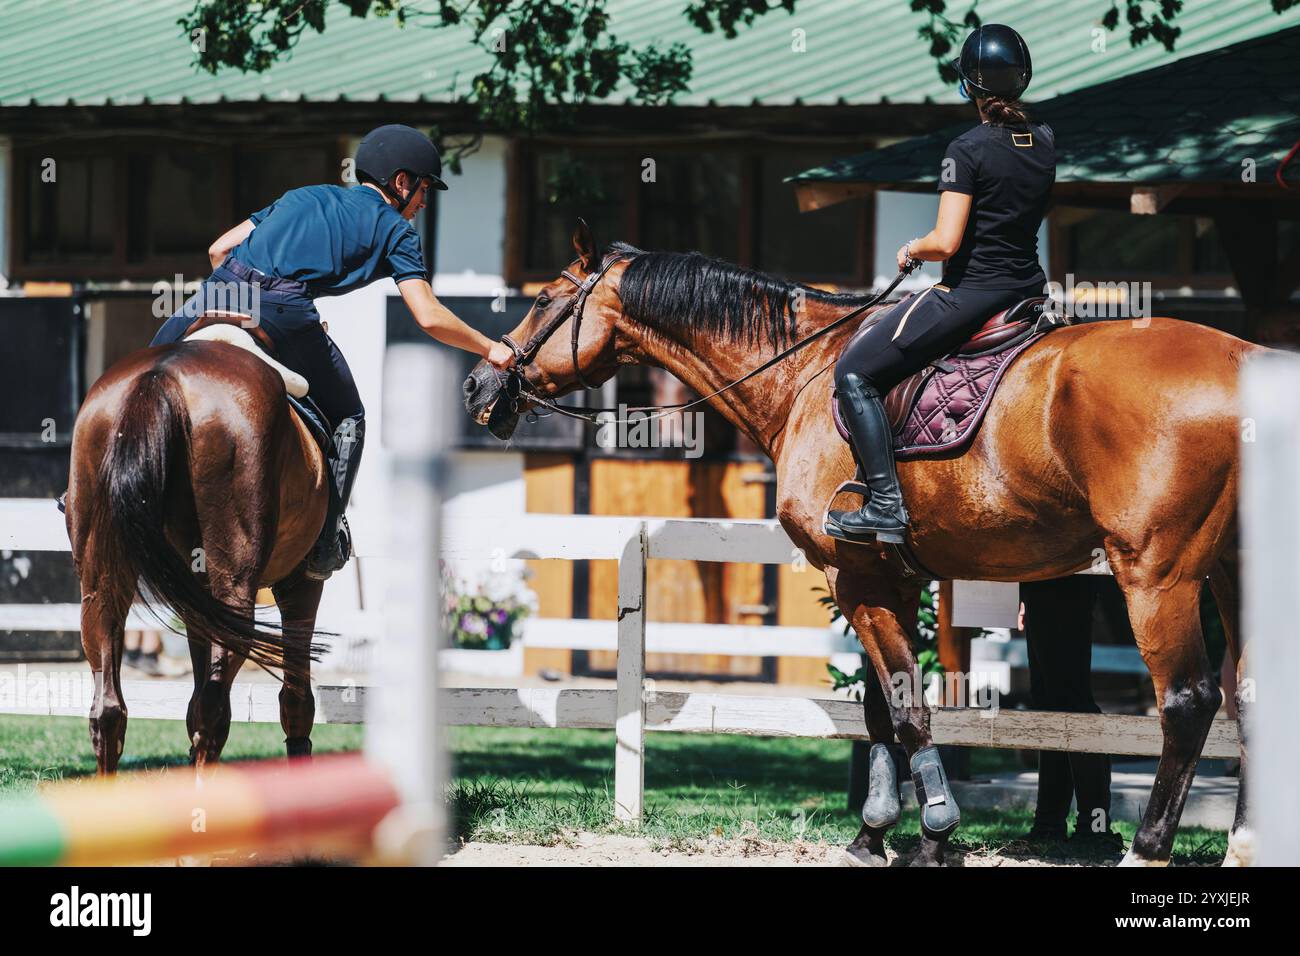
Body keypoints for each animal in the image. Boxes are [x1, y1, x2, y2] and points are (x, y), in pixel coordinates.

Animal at [65, 335, 329, 774]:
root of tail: (160, 377)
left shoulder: (196, 596)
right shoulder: (300, 584)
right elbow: (295, 699)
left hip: (101, 582)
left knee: (109, 710)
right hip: (236, 588)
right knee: (213, 710)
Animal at [463, 220, 1257, 867]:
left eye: (544, 300)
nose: (477, 386)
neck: (803, 373)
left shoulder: (856, 577)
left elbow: (903, 708)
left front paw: (933, 832)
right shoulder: (885, 580)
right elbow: (882, 708)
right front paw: (874, 833)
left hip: (1156, 575)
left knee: (1189, 701)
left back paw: (1148, 849)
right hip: (1232, 571)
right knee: (1249, 694)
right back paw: (1244, 846)